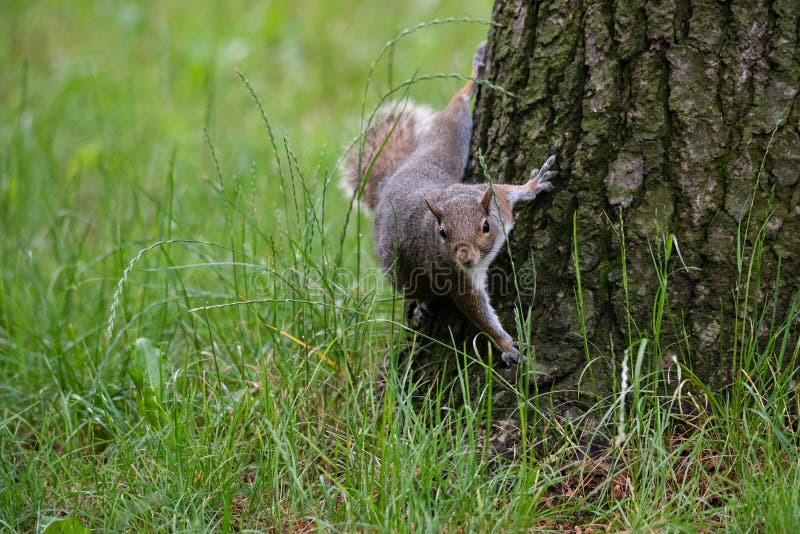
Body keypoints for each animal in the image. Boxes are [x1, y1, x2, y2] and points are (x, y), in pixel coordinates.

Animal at [341, 43, 557, 366]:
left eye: (485, 226)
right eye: (442, 233)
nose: (465, 257)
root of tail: (390, 183)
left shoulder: (496, 201)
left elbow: (509, 191)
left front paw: (534, 185)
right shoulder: (455, 276)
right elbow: (476, 311)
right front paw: (506, 346)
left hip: (442, 150)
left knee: (453, 115)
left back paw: (475, 76)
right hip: (399, 266)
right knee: (410, 287)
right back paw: (420, 305)